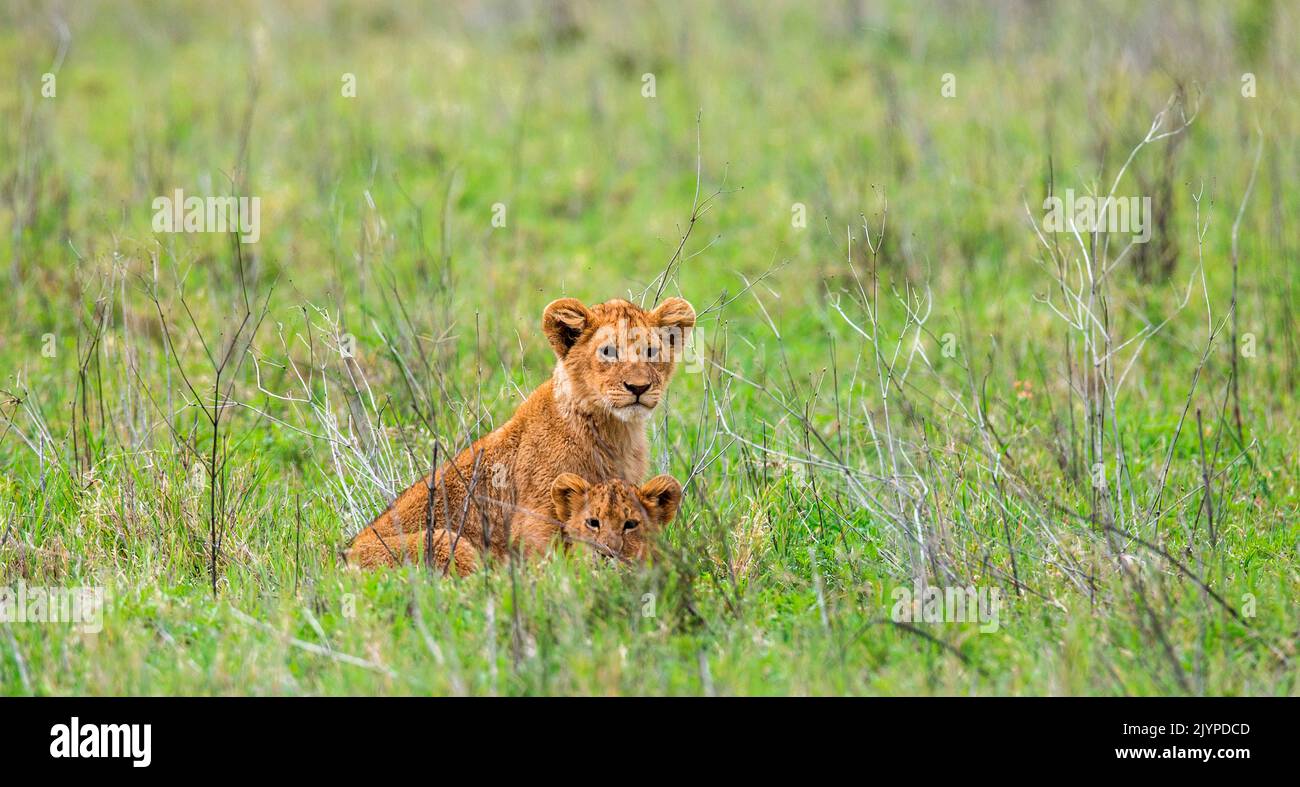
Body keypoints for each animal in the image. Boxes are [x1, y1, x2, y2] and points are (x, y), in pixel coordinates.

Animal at [343, 296, 695, 571]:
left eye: (651, 351)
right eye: (608, 352)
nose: (639, 388)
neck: (615, 430)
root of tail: (341, 559)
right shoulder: (534, 518)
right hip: (443, 540)